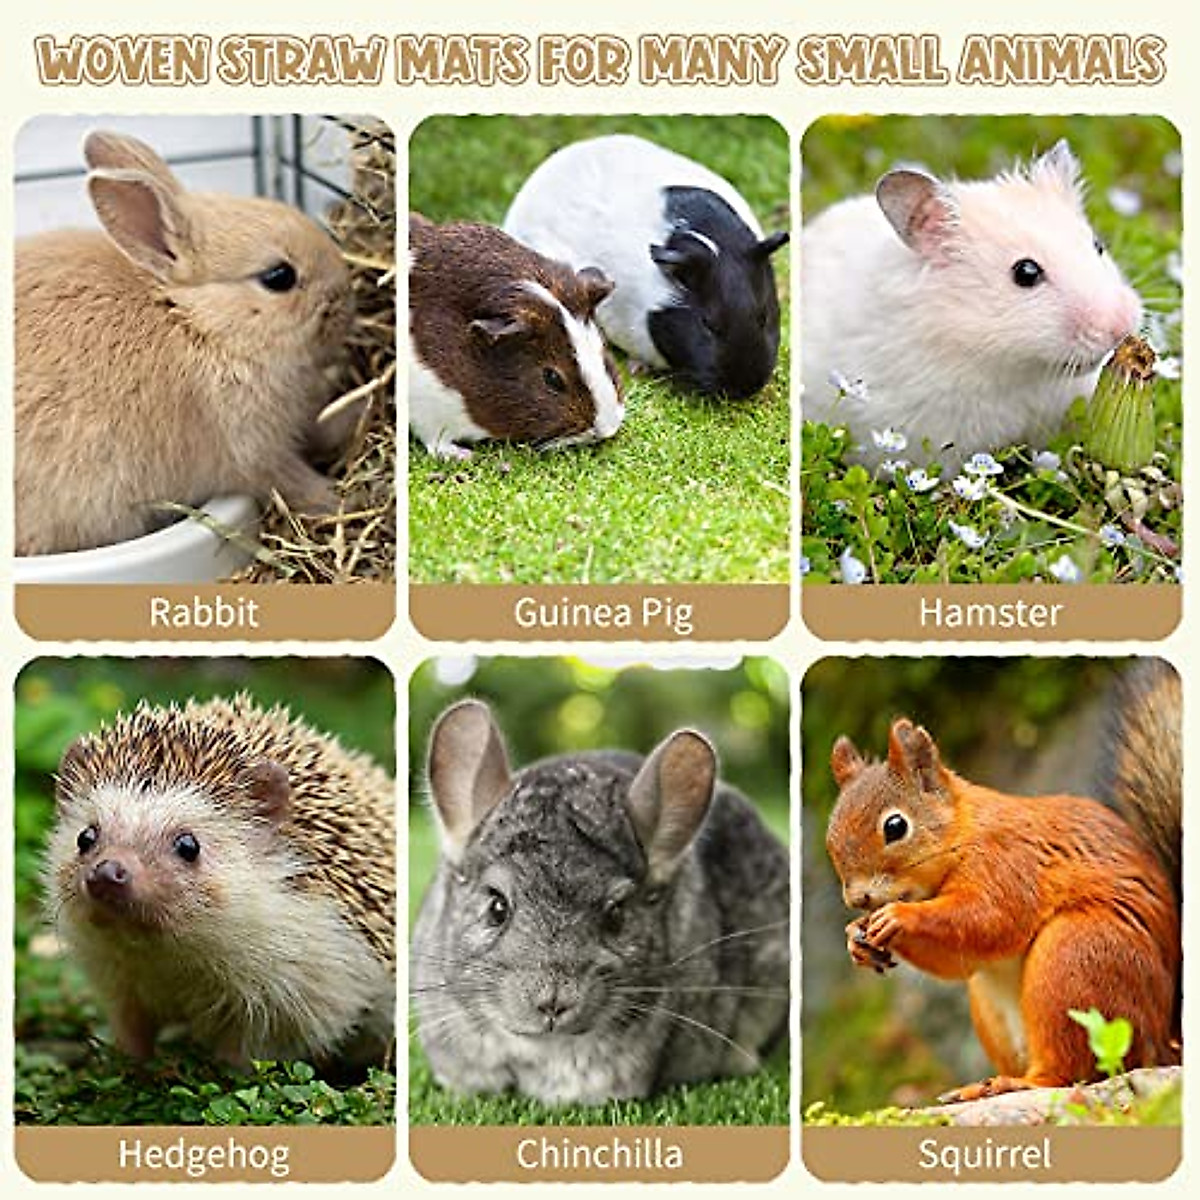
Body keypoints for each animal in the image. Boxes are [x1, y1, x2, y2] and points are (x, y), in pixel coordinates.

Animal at [15, 129, 353, 556]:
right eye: (278, 277)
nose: (348, 308)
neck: (199, 323)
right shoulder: (253, 452)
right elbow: (292, 480)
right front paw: (338, 499)